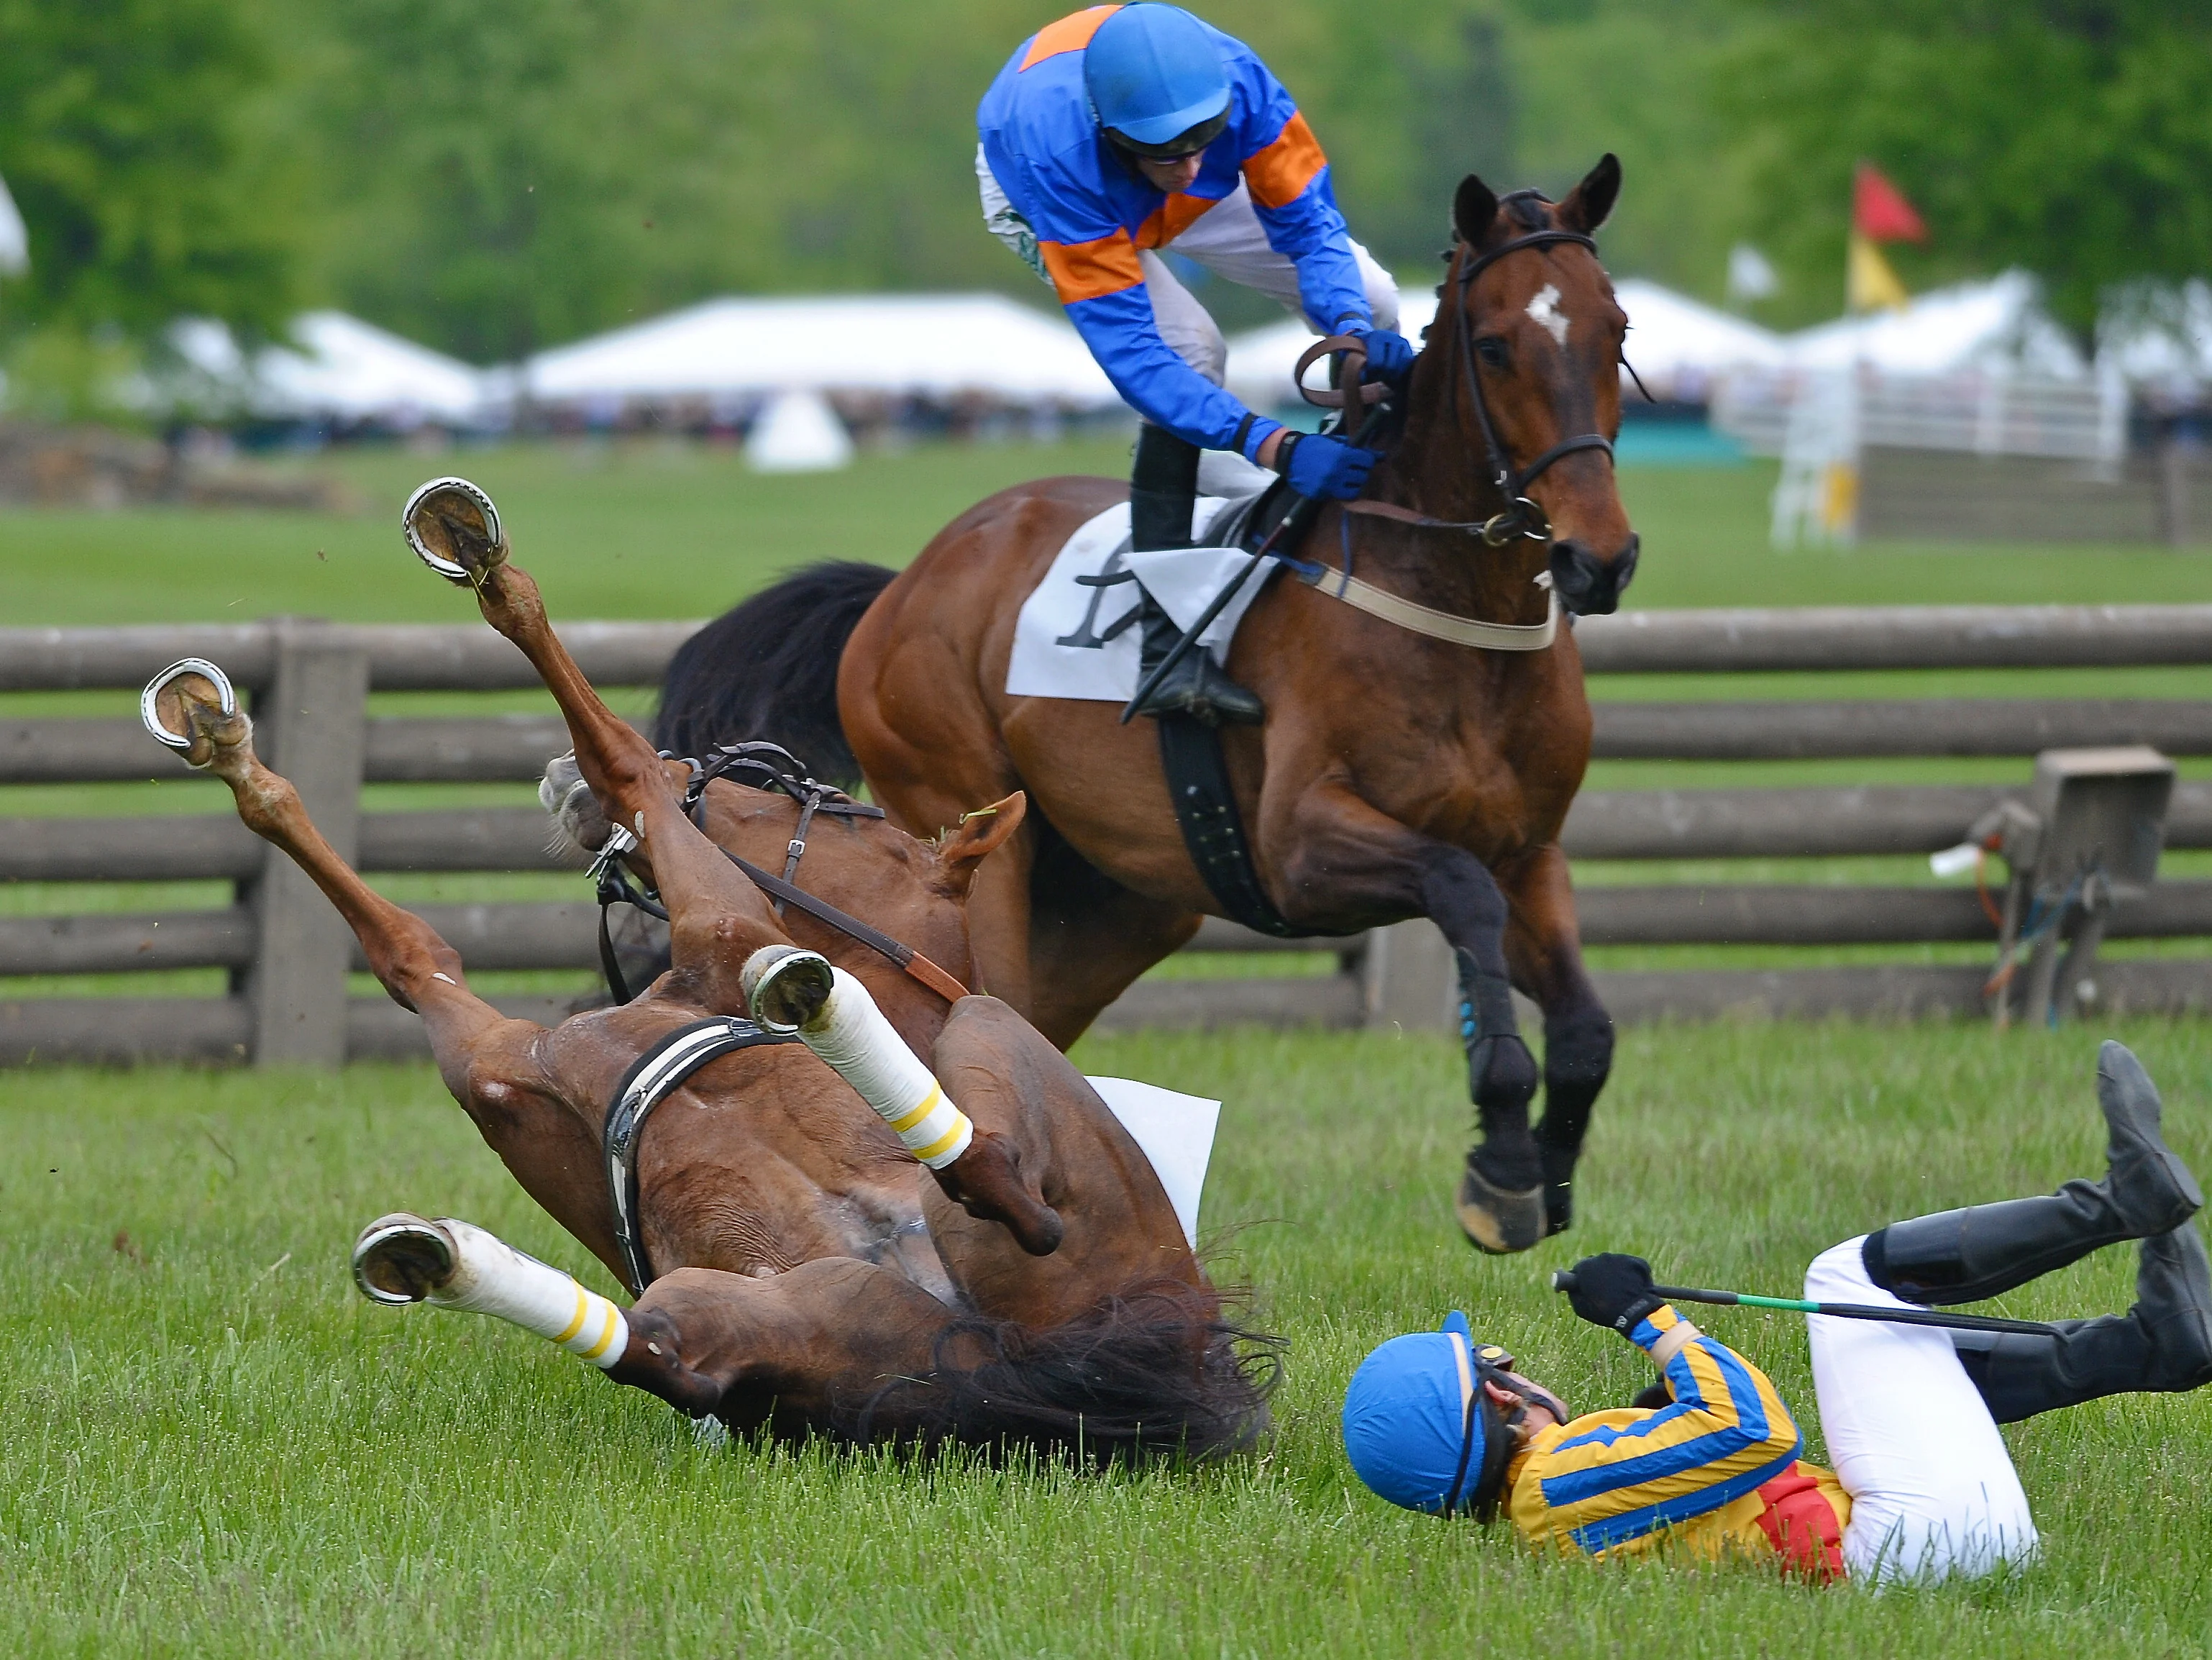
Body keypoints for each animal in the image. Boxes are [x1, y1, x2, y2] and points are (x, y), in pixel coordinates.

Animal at [137, 481, 1275, 1460]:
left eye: (838, 808)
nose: (714, 767)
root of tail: (1058, 1370)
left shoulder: (640, 958)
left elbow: (588, 790)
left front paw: (484, 567)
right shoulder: (500, 1055)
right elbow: (408, 942)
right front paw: (225, 743)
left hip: (981, 1036)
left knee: (990, 1171)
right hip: (785, 1307)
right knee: (676, 1347)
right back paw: (443, 1256)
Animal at [655, 161, 1638, 1257]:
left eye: (1617, 330)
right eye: (1497, 344)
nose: (1598, 558)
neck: (1454, 612)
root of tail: (901, 583)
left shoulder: (1529, 849)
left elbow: (1587, 1026)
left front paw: (1546, 1171)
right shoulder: (1304, 850)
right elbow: (1459, 891)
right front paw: (1501, 1162)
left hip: (1124, 901)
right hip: (968, 823)